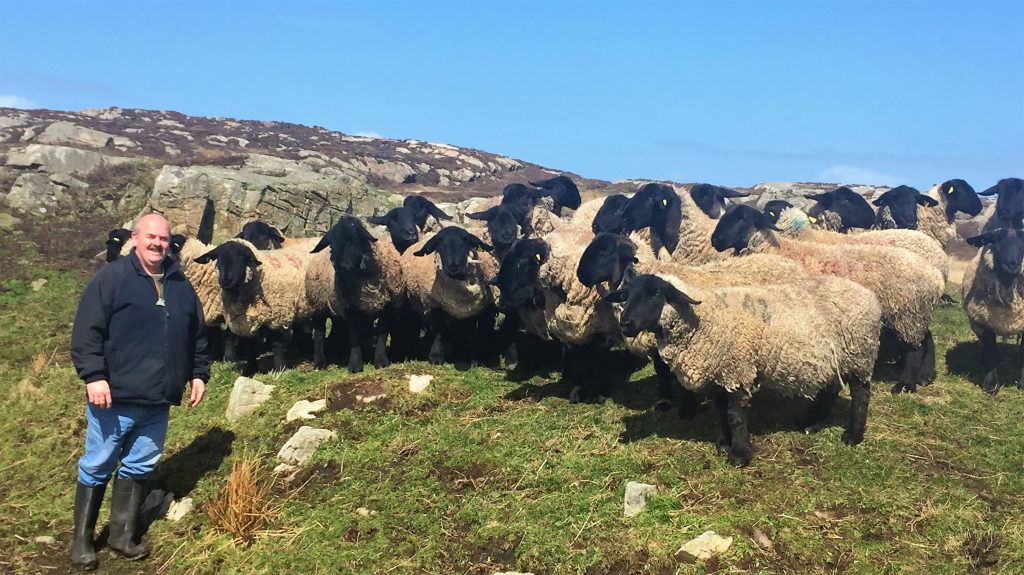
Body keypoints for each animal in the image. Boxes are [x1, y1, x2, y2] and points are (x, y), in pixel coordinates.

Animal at [400, 226, 499, 365]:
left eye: (466, 240)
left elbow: (470, 333)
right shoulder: (435, 305)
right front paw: (436, 357)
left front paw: (472, 357)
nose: (453, 266)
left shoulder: (470, 309)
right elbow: (438, 331)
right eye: (439, 242)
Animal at [605, 271, 881, 466]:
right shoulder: (719, 375)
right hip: (833, 358)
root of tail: (868, 294)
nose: (625, 323)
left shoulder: (737, 370)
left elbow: (734, 416)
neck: (702, 320)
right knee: (831, 387)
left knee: (861, 394)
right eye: (626, 296)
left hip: (859, 352)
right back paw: (811, 422)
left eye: (656, 294)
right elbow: (719, 413)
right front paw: (724, 445)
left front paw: (739, 455)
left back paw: (852, 435)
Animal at [712, 204, 944, 394]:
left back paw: (906, 383)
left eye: (741, 218)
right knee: (926, 338)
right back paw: (925, 375)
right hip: (914, 313)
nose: (714, 241)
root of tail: (935, 275)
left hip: (909, 314)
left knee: (915, 348)